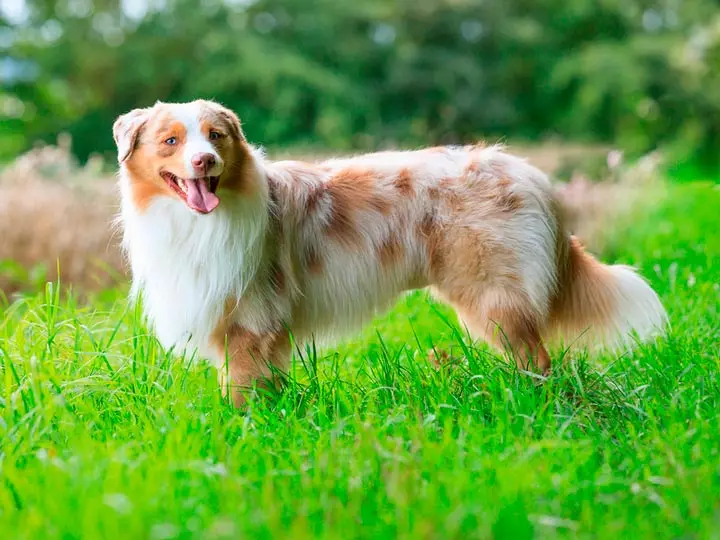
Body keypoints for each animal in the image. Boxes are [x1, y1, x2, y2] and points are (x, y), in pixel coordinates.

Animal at [114, 100, 668, 404]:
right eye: (171, 141)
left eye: (216, 136)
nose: (204, 160)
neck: (197, 222)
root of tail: (530, 174)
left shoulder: (251, 319)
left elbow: (243, 393)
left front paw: (245, 435)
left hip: (494, 297)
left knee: (538, 358)